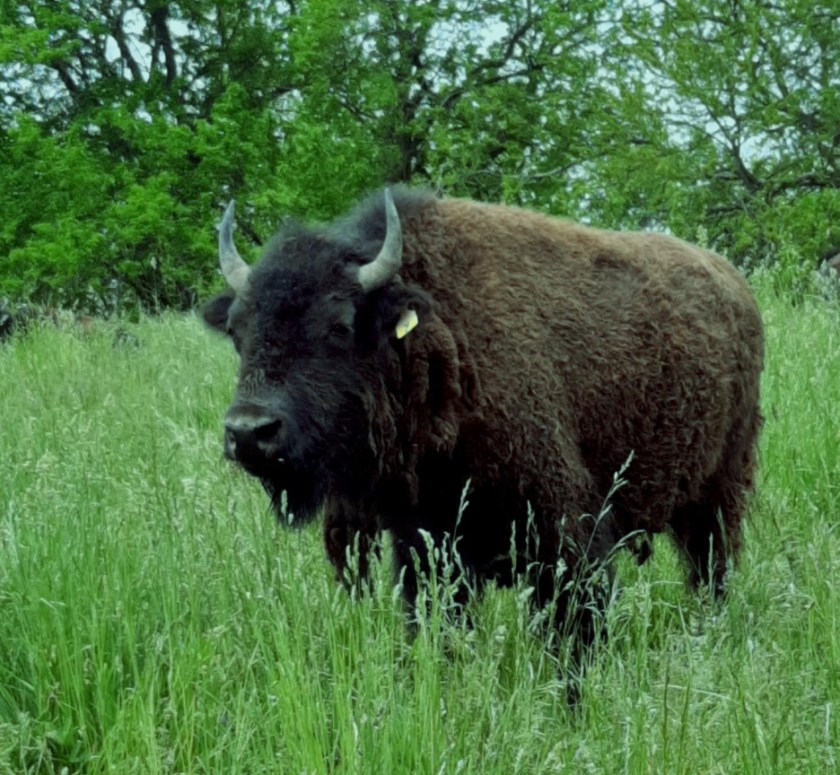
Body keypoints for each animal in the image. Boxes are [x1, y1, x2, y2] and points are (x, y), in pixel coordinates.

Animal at [202, 187, 763, 643]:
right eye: (236, 330)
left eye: (339, 326)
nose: (249, 432)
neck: (440, 334)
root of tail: (735, 286)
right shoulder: (426, 545)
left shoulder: (565, 536)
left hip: (718, 495)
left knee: (712, 566)